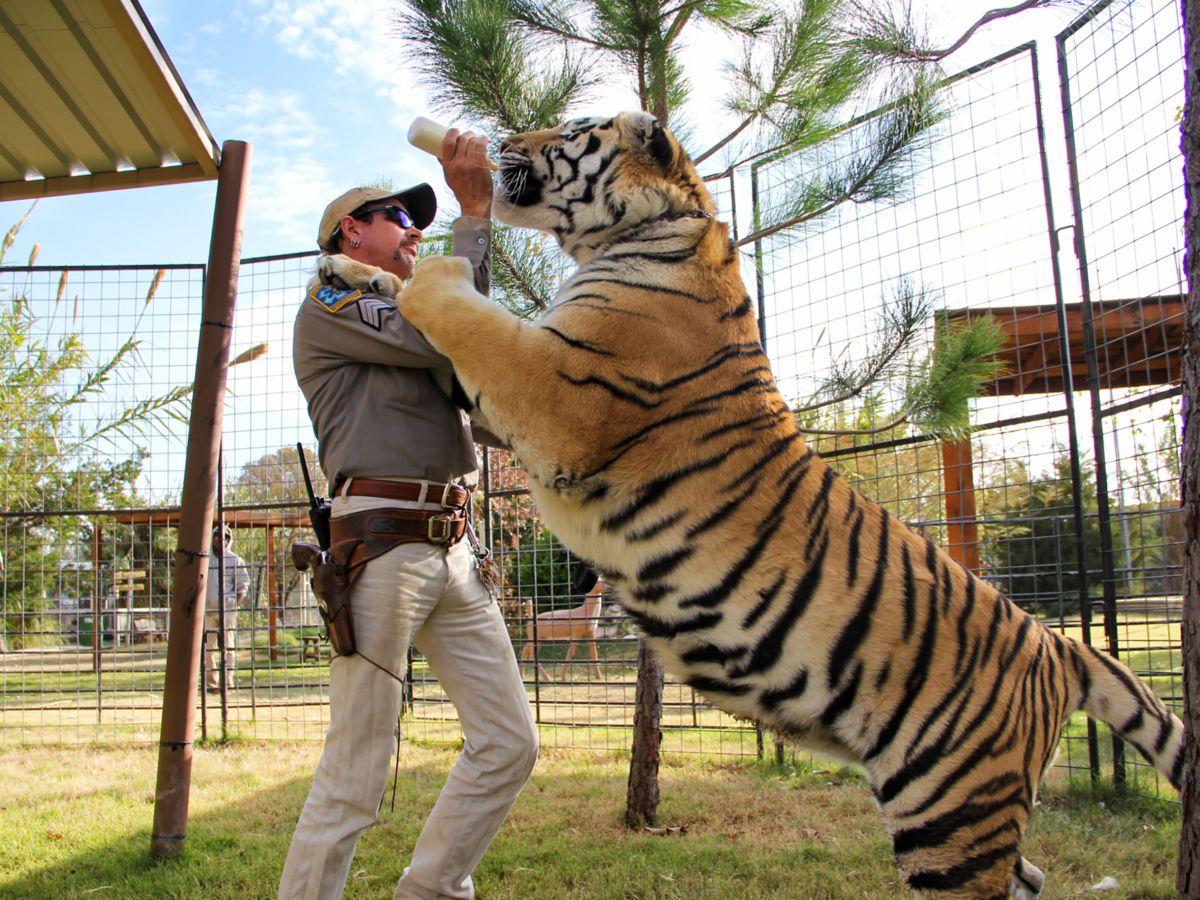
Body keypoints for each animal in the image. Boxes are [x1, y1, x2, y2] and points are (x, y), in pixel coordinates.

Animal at [316, 111, 1183, 898]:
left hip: (952, 811)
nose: (498, 143)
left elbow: (462, 310)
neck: (646, 231)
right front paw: (351, 269)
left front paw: (415, 271)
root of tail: (1056, 646)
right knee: (1029, 877)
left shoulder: (554, 393)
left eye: (567, 129)